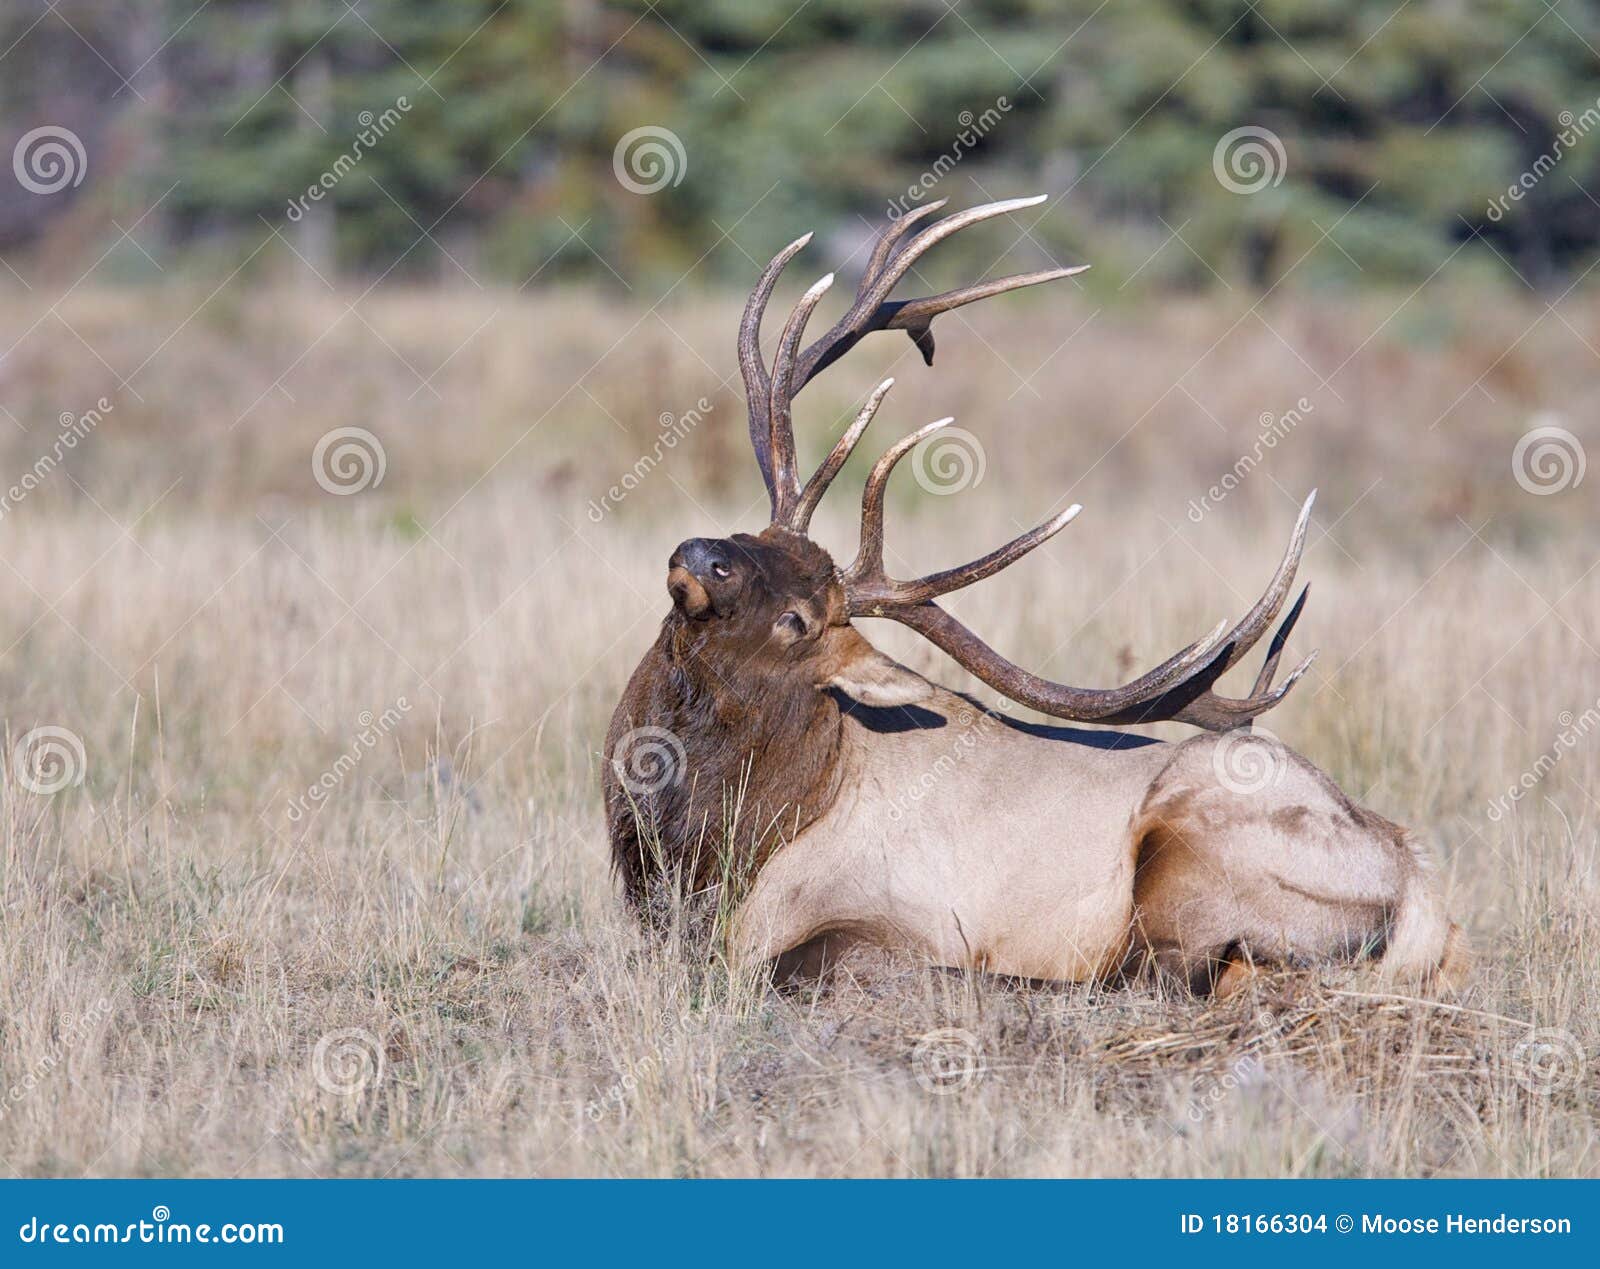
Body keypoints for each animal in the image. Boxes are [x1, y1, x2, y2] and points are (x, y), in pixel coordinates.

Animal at [603, 195, 1465, 996]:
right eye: (751, 535)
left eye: (799, 620)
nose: (701, 555)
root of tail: (1426, 890)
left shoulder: (885, 914)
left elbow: (799, 960)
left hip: (1203, 844)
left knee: (1168, 973)